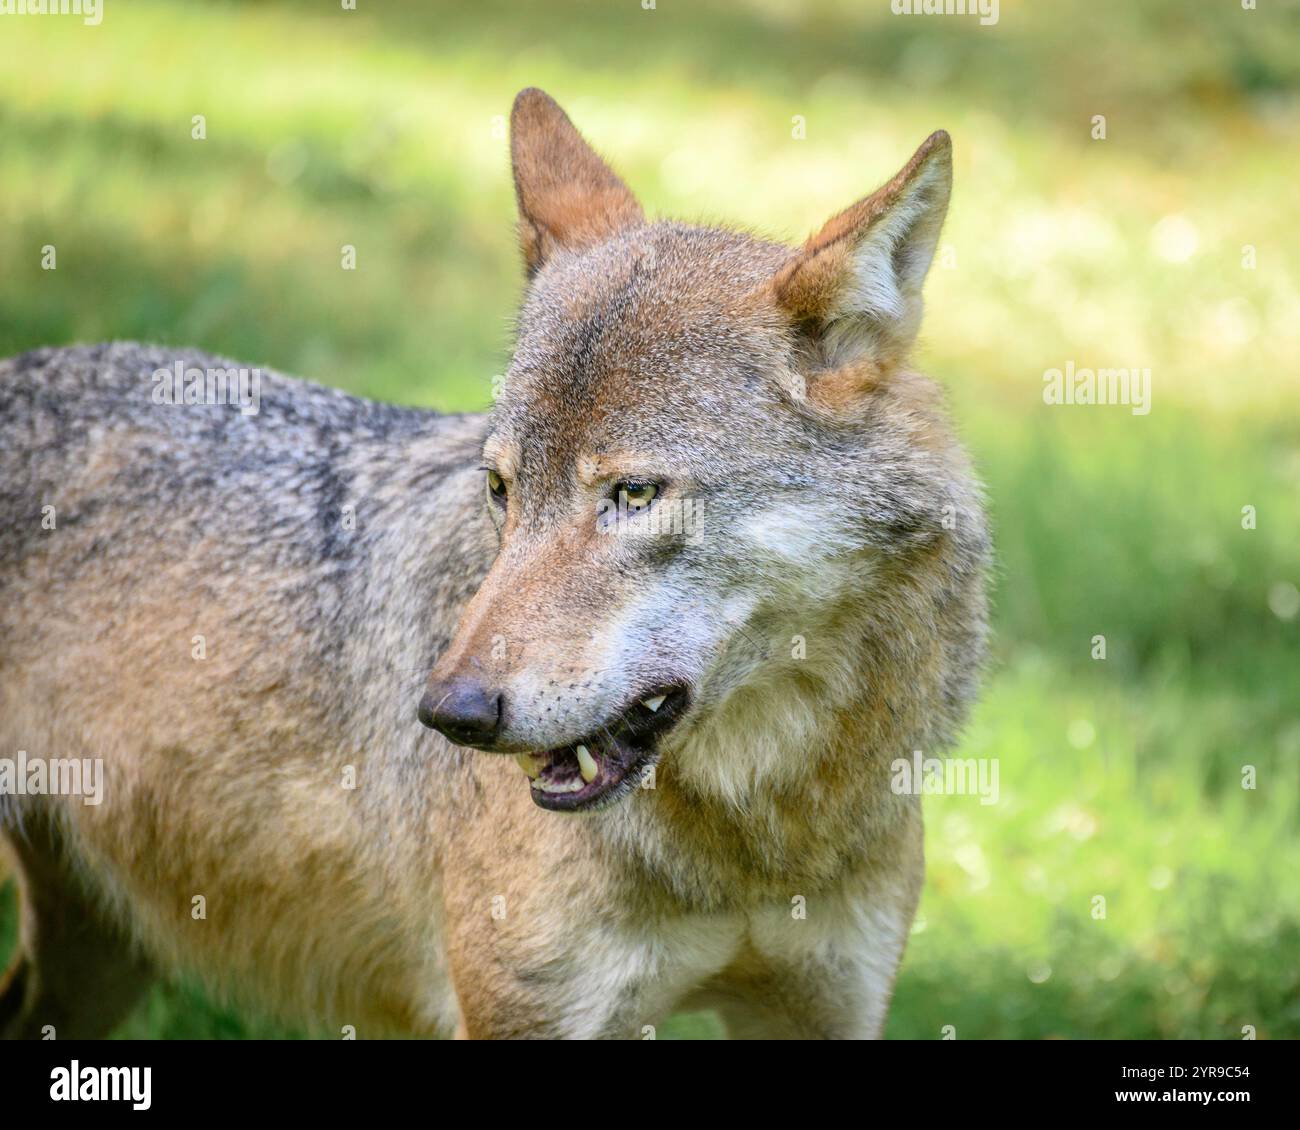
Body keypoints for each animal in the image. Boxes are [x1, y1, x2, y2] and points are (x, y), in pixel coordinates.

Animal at [0, 89, 988, 1039]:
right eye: (500, 488)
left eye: (634, 494)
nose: (451, 714)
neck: (756, 844)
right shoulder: (520, 1019)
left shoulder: (828, 1010)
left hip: (97, 967)